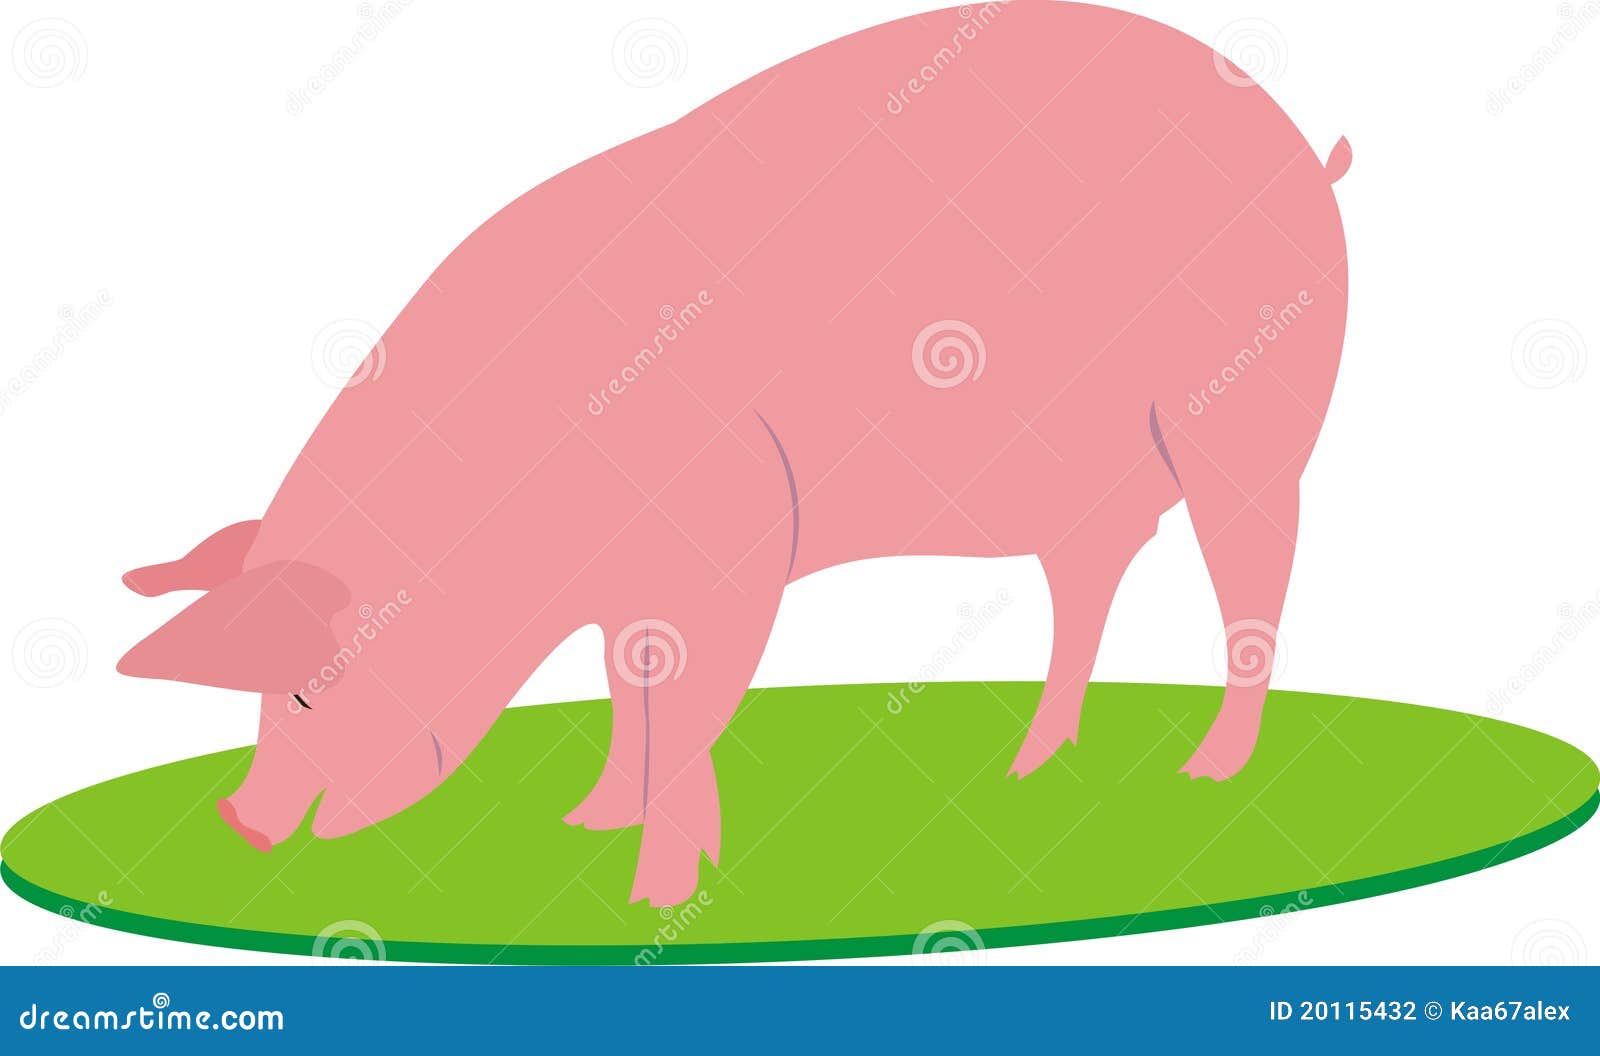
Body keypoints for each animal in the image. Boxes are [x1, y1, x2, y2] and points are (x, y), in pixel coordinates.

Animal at [118, 0, 1350, 906]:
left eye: (308, 689)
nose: (238, 819)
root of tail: (1306, 150)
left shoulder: (731, 546)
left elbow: (685, 710)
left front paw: (653, 898)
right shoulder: (630, 591)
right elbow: (626, 696)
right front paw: (585, 823)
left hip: (1245, 424)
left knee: (1255, 579)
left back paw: (1208, 771)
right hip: (1094, 493)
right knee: (1092, 577)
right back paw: (1030, 767)